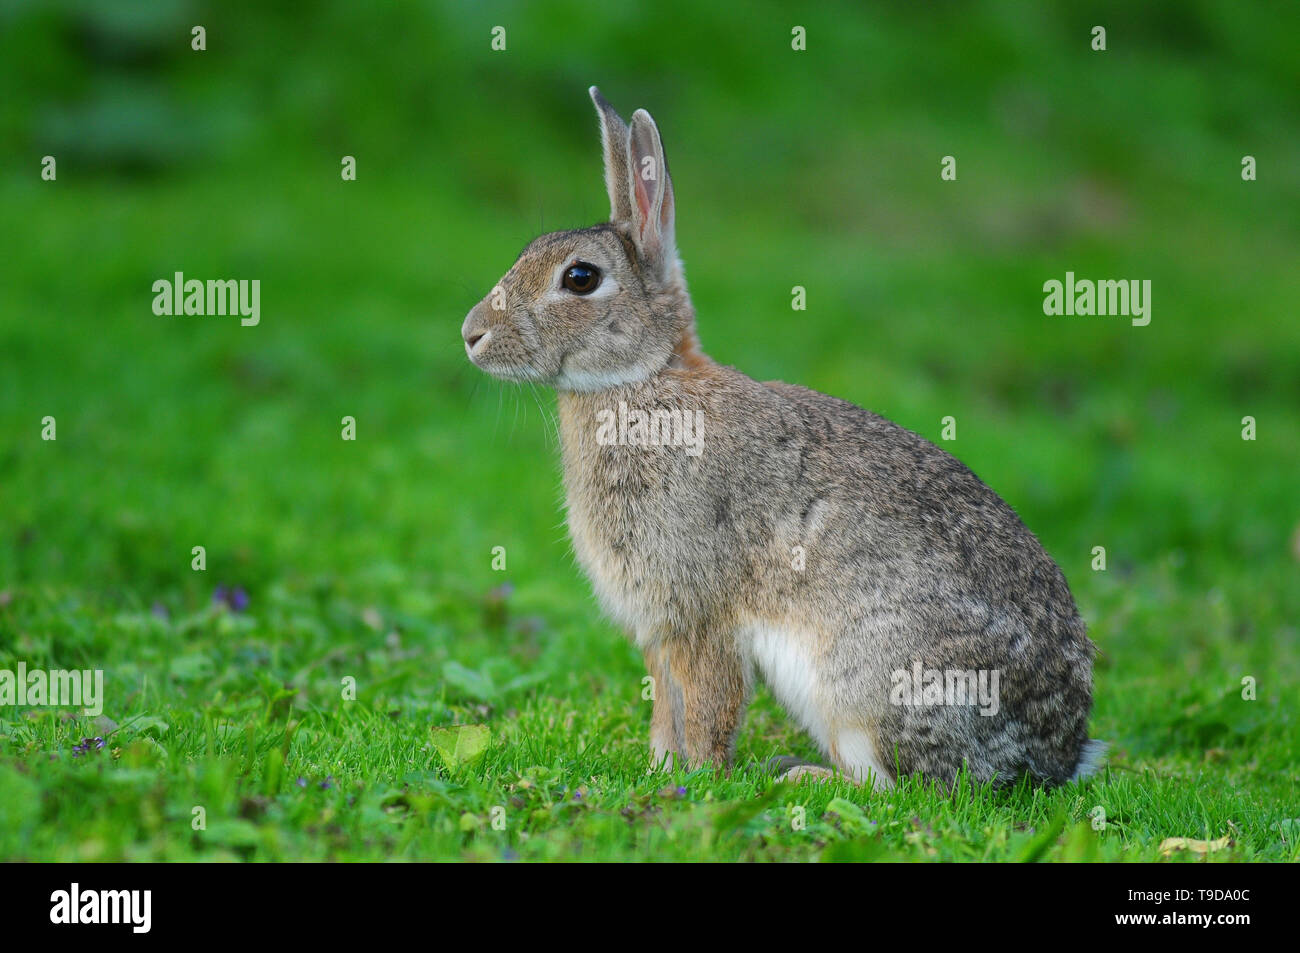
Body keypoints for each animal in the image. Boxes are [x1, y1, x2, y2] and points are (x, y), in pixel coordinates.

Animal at [461, 87, 1104, 789]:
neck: (645, 380)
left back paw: (798, 775)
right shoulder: (659, 631)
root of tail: (1054, 756)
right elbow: (665, 710)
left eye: (579, 278)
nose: (471, 333)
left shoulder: (703, 617)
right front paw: (661, 772)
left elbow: (707, 707)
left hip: (866, 688)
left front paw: (701, 780)